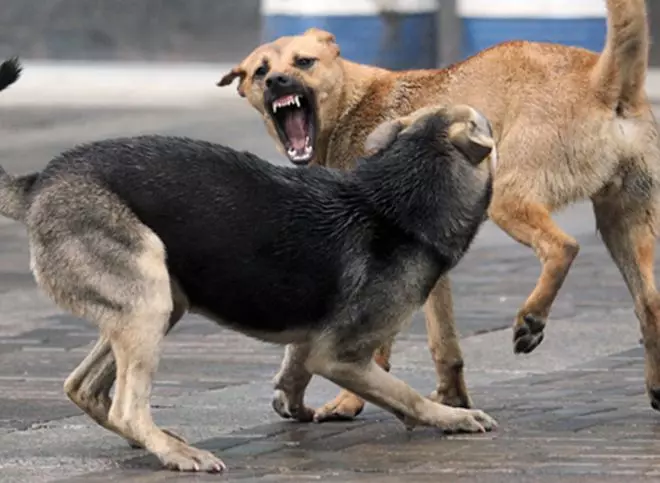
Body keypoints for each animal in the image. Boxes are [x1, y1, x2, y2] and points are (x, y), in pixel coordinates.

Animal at [0, 59, 498, 472]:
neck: (399, 197)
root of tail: (41, 181)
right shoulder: (339, 355)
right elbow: (404, 393)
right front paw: (451, 416)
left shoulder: (311, 341)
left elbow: (295, 372)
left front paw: (295, 406)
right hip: (148, 300)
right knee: (126, 406)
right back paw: (175, 452)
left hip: (158, 303)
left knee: (82, 386)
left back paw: (154, 439)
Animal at [219, 0, 660, 424]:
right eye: (260, 71)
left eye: (304, 62)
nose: (277, 81)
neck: (350, 105)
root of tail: (602, 80)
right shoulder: (429, 264)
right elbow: (443, 341)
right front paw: (453, 400)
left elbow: (372, 346)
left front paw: (348, 402)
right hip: (624, 223)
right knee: (649, 305)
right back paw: (655, 386)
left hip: (510, 198)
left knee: (564, 247)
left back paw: (532, 318)